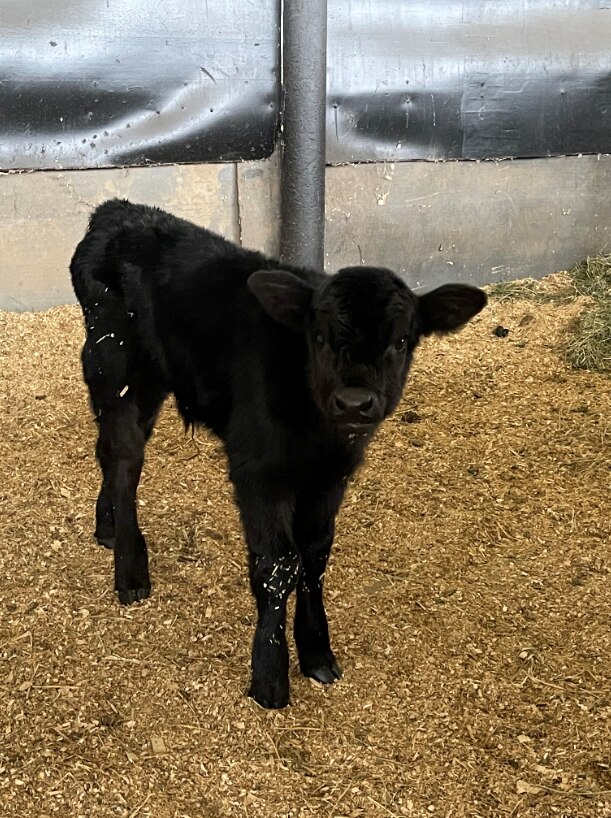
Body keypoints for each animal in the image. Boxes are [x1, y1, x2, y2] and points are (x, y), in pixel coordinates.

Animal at [70, 199, 486, 708]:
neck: (317, 432)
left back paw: (107, 527)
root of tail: (117, 210)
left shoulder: (330, 478)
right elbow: (277, 565)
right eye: (319, 336)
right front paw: (269, 676)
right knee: (125, 461)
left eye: (401, 340)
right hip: (116, 370)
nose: (354, 403)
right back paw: (130, 571)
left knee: (109, 454)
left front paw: (317, 652)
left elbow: (315, 555)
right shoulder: (258, 472)